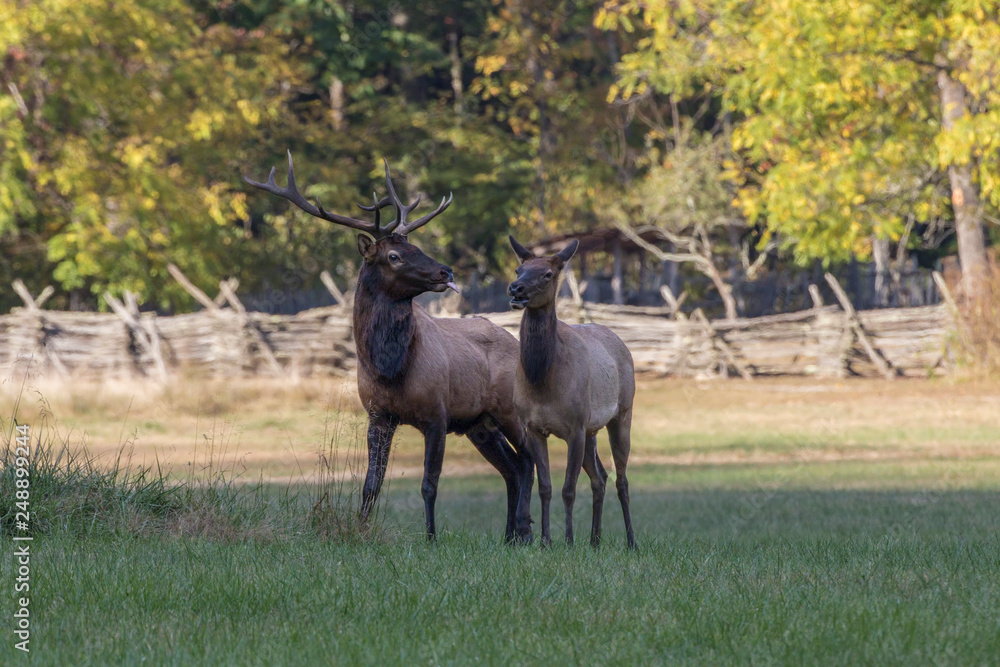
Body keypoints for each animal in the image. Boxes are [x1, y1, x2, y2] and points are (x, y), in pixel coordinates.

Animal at [244, 153, 534, 542]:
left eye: (417, 247)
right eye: (395, 255)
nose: (446, 271)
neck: (390, 368)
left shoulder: (438, 413)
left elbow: (429, 484)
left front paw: (431, 538)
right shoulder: (378, 414)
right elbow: (372, 484)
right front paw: (359, 531)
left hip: (509, 409)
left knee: (529, 460)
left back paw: (530, 533)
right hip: (480, 424)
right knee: (512, 468)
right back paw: (509, 538)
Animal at [507, 235, 637, 549]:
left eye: (547, 274)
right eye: (519, 269)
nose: (515, 289)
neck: (543, 384)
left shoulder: (575, 425)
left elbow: (568, 488)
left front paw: (567, 540)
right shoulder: (532, 427)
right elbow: (545, 487)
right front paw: (545, 541)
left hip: (623, 413)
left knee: (621, 478)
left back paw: (631, 541)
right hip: (592, 430)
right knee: (600, 477)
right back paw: (595, 540)